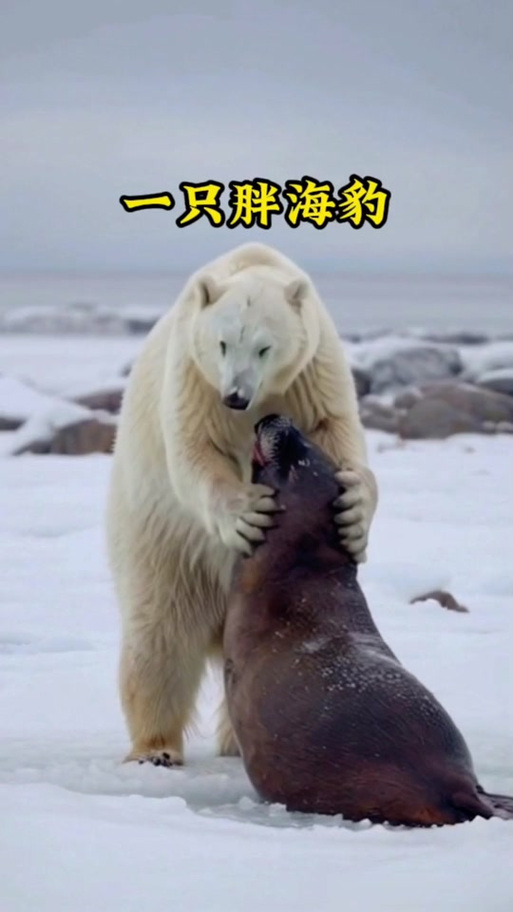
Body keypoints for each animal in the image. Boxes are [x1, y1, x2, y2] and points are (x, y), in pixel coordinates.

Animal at [106, 241, 378, 767]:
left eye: (265, 347)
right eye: (223, 343)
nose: (236, 396)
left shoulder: (313, 372)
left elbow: (338, 431)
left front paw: (354, 513)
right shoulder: (193, 377)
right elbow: (194, 452)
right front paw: (247, 515)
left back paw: (236, 742)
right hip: (164, 548)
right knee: (159, 641)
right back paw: (155, 749)